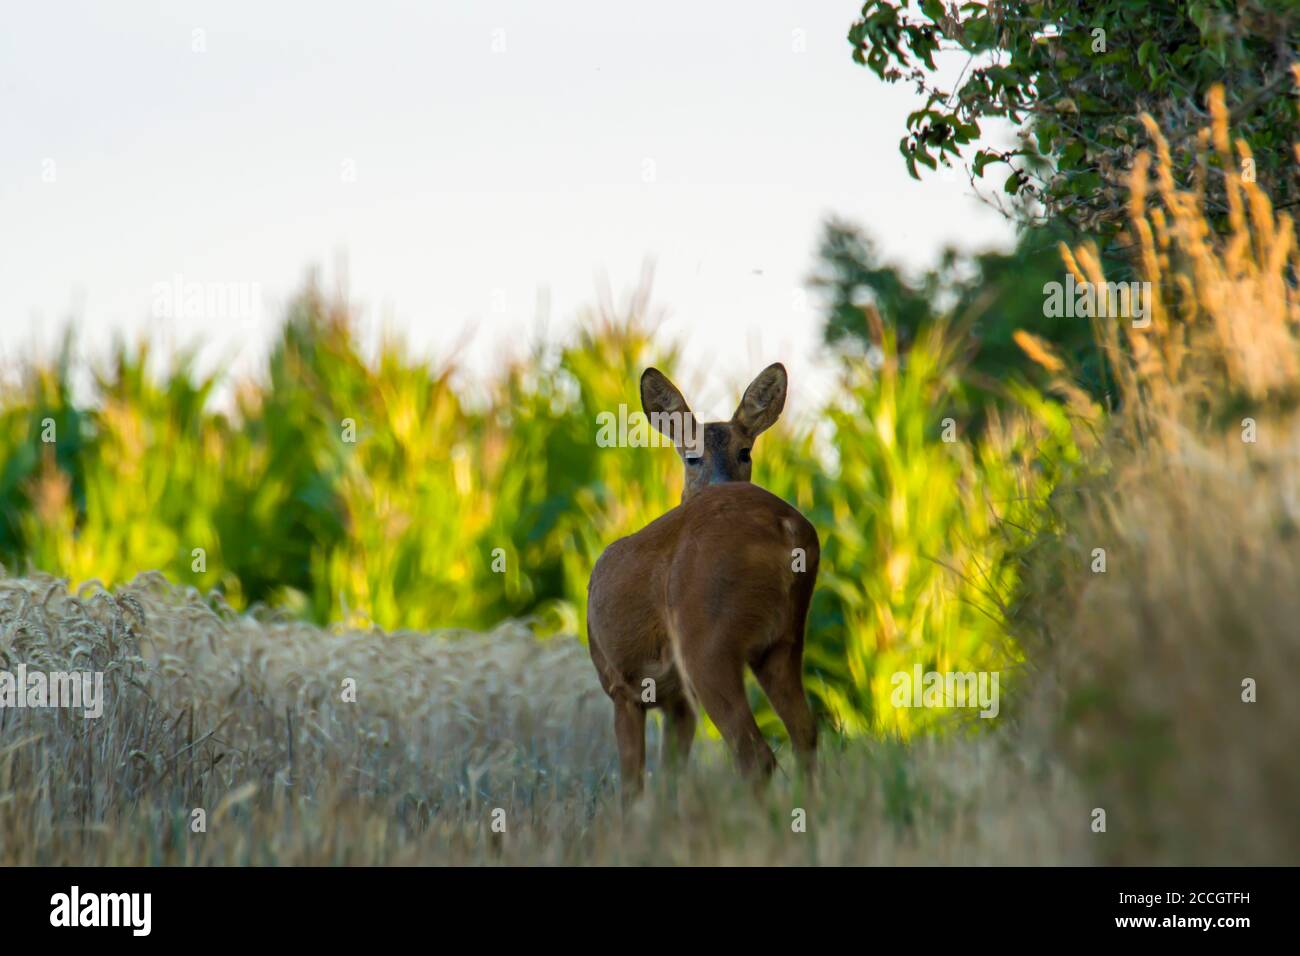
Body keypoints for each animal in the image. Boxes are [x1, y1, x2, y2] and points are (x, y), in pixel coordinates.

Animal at [586, 363, 820, 797]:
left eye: (745, 452)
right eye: (692, 456)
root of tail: (787, 527)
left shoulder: (620, 685)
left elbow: (632, 788)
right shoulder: (676, 701)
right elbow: (668, 780)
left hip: (707, 641)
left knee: (755, 754)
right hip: (784, 641)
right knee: (806, 734)